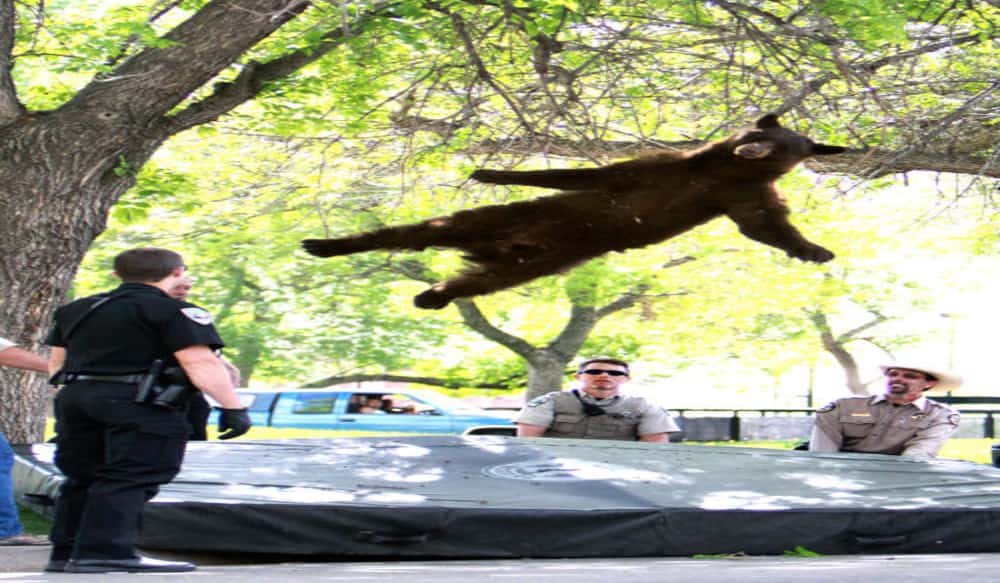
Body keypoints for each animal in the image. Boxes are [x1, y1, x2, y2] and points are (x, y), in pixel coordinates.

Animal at [302, 114, 846, 309]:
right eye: (758, 134)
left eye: (785, 146)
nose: (749, 148)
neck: (722, 171)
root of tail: (500, 245)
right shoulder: (670, 169)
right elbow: (595, 176)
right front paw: (493, 172)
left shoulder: (743, 194)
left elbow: (765, 226)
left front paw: (812, 249)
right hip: (505, 220)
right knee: (419, 230)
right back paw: (327, 243)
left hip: (535, 263)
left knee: (475, 281)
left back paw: (432, 295)